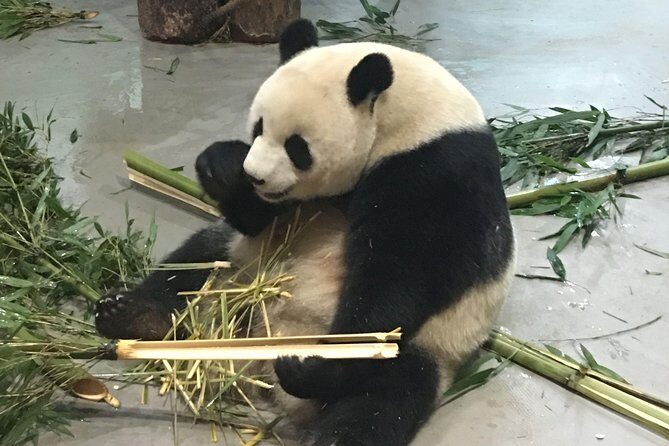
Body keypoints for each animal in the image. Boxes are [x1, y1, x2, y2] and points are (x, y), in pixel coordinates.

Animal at [95, 19, 514, 446]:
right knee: (193, 264)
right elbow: (255, 218)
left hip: (428, 347)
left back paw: (312, 385)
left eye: (297, 147)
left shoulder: (435, 172)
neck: (407, 116)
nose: (255, 176)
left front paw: (319, 361)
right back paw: (131, 315)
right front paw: (221, 165)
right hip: (240, 264)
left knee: (377, 402)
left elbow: (398, 274)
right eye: (258, 128)